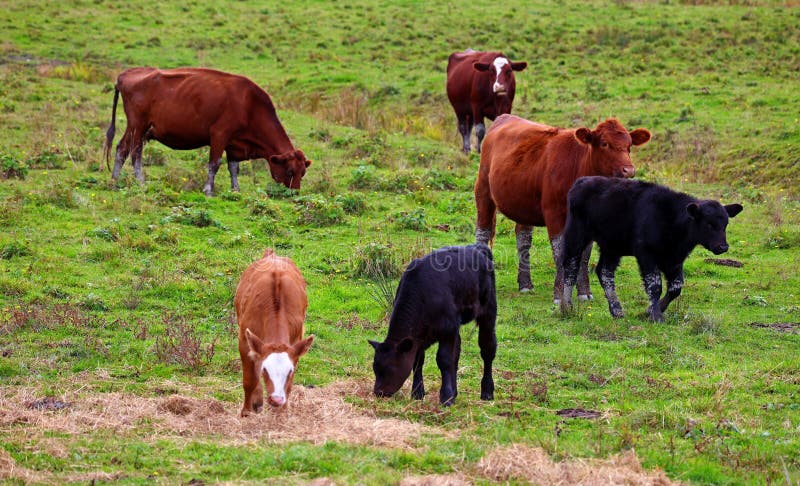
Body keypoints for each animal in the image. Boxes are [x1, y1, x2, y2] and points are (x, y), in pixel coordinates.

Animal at [104, 67, 312, 196]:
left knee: (125, 150)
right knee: (131, 152)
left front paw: (235, 191)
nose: (295, 193)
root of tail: (125, 75)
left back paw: (120, 181)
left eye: (303, 172)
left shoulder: (234, 144)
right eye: (290, 171)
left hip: (138, 129)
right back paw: (134, 182)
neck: (249, 104)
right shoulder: (219, 135)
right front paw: (209, 190)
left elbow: (233, 168)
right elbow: (214, 164)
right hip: (137, 126)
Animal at [236, 249, 314, 416]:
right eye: (265, 369)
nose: (276, 399)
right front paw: (246, 412)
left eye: (290, 371)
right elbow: (249, 380)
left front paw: (282, 413)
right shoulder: (244, 341)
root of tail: (273, 255)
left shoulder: (295, 344)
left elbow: (289, 386)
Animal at [369, 244, 497, 406]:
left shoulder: (447, 329)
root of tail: (477, 247)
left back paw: (487, 392)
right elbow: (418, 362)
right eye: (374, 367)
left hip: (488, 312)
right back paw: (455, 393)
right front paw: (417, 393)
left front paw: (446, 397)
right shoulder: (418, 337)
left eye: (390, 368)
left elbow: (444, 359)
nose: (378, 392)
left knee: (488, 349)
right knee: (457, 353)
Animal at [474, 114, 651, 303]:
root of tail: (505, 117)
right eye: (604, 143)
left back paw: (525, 284)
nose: (629, 170)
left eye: (629, 145)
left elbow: (584, 255)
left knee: (523, 238)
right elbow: (559, 252)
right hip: (483, 190)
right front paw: (560, 295)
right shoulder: (553, 212)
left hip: (523, 203)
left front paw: (584, 292)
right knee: (483, 232)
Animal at [560, 176, 743, 321]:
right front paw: (656, 315)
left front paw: (651, 310)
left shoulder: (674, 260)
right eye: (709, 224)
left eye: (725, 224)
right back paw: (566, 307)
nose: (723, 246)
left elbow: (676, 287)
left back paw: (617, 310)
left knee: (604, 272)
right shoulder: (646, 254)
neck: (672, 220)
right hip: (577, 236)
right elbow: (655, 285)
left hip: (611, 246)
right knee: (570, 266)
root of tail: (582, 181)